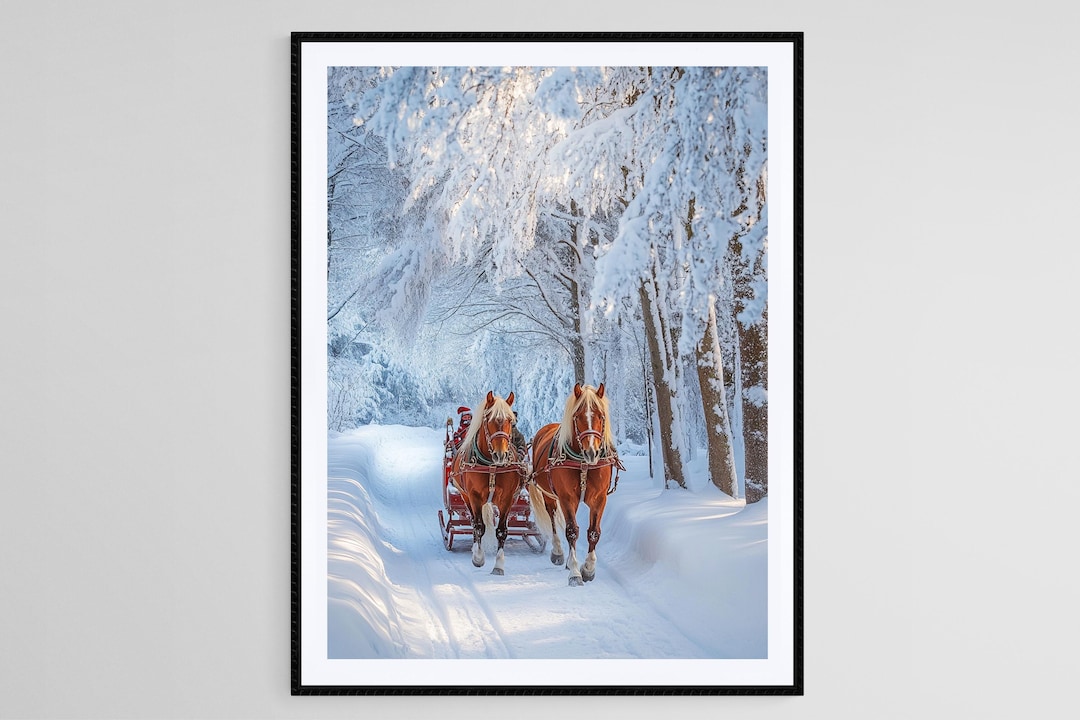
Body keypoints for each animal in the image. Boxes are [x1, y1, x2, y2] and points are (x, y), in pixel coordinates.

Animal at [448, 391, 528, 575]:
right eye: (490, 420)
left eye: (510, 420)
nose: (501, 455)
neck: (492, 465)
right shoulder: (475, 496)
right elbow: (479, 526)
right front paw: (478, 558)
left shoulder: (507, 498)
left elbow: (502, 531)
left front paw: (498, 565)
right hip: (465, 496)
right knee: (473, 522)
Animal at [528, 383, 622, 586]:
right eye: (577, 416)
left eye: (600, 415)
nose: (591, 452)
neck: (583, 464)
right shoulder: (567, 497)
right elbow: (571, 531)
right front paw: (575, 573)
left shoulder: (599, 498)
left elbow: (593, 532)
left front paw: (588, 568)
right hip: (549, 495)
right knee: (553, 518)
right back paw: (559, 554)